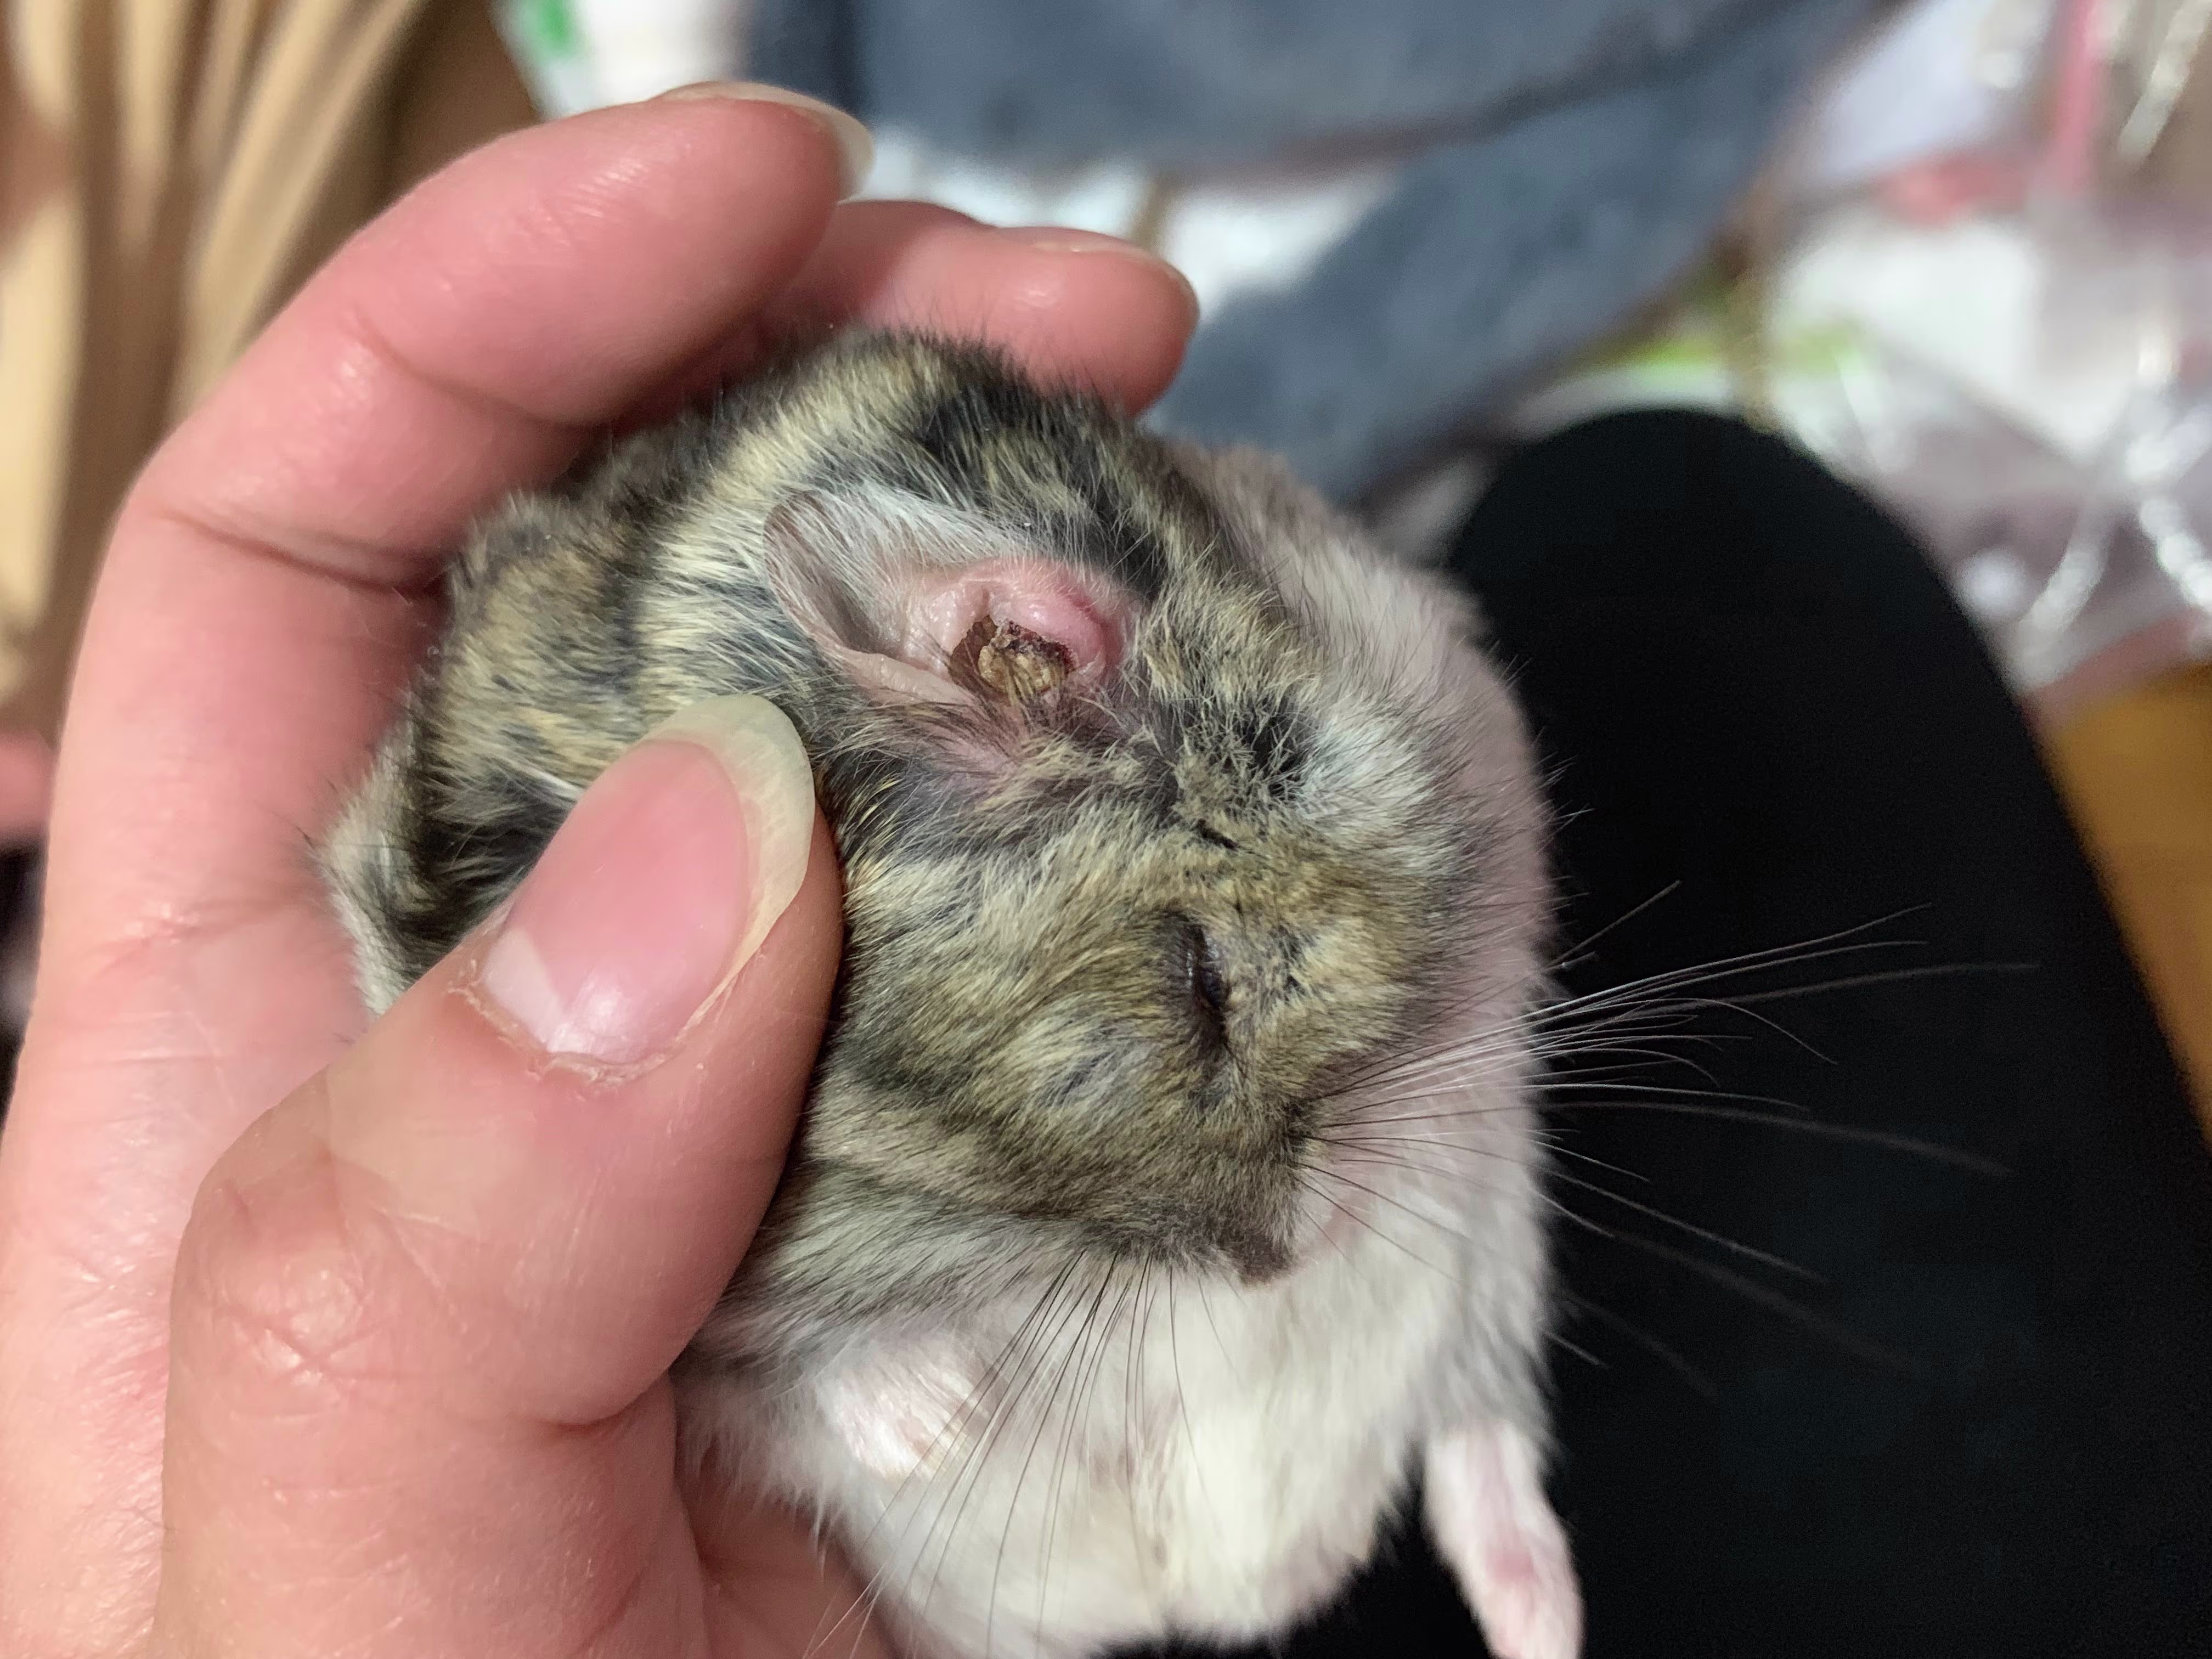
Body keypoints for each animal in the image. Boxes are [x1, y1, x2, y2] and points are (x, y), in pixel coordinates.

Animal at [322, 331, 1581, 1659]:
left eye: (1205, 981)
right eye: (871, 1171)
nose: (1281, 1263)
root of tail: (1226, 1593)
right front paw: (938, 1424)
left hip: (1494, 1272)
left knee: (1478, 1439)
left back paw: (1545, 1621)